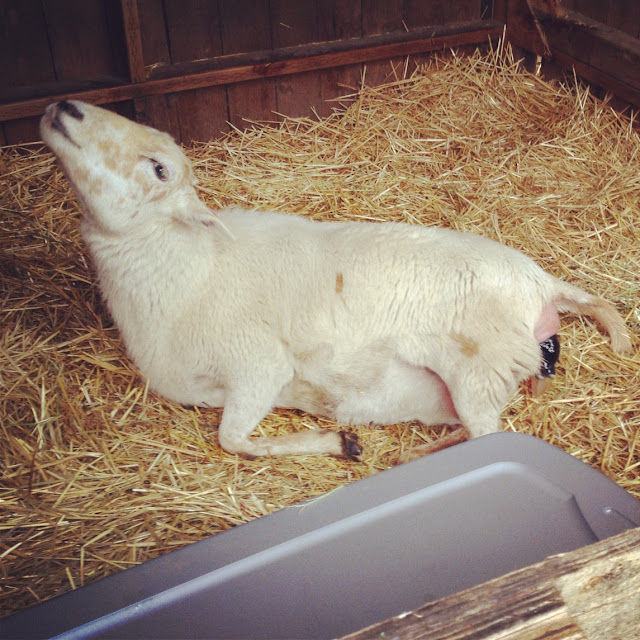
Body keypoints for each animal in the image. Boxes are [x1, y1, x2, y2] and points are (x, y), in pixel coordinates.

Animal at [39, 99, 632, 462]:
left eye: (159, 168)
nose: (65, 107)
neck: (189, 276)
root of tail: (540, 283)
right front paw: (339, 440)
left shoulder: (259, 365)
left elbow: (232, 439)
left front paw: (336, 442)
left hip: (478, 375)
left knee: (490, 437)